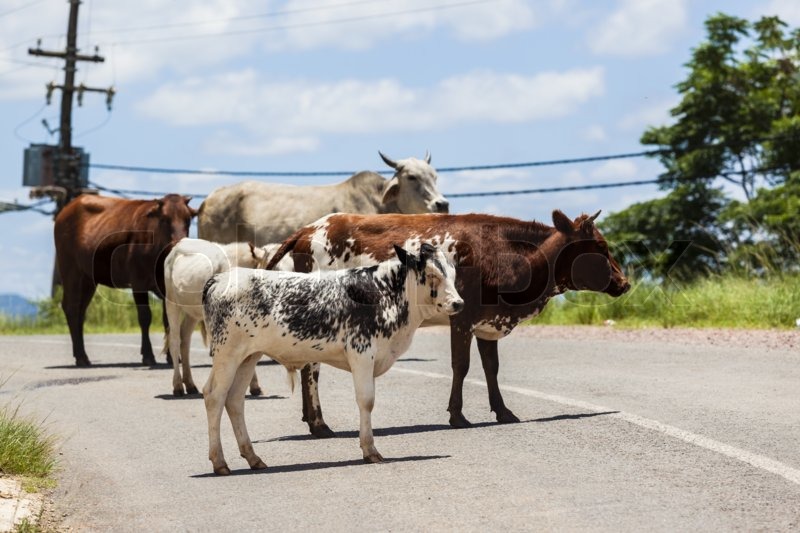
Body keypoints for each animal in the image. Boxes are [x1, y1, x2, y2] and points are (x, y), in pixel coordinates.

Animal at [53, 194, 197, 366]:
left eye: (188, 219)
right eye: (164, 219)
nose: (179, 244)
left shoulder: (165, 287)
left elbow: (168, 320)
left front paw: (172, 357)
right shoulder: (138, 282)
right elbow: (145, 317)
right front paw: (148, 356)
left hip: (88, 280)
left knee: (80, 312)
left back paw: (81, 356)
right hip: (71, 271)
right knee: (72, 308)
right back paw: (81, 357)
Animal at [163, 238, 272, 396]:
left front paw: (253, 385)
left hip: (192, 313)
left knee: (185, 340)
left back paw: (190, 384)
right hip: (171, 302)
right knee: (175, 341)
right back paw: (177, 385)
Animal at [201, 243, 464, 474]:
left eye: (452, 274)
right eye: (431, 274)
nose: (458, 303)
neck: (384, 293)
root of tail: (220, 279)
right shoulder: (361, 353)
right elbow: (367, 401)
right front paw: (370, 450)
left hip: (248, 357)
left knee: (235, 400)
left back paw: (253, 458)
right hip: (227, 354)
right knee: (215, 396)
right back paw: (219, 462)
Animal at [265, 210, 630, 436]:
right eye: (600, 246)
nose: (625, 283)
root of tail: (309, 228)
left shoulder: (488, 322)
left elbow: (491, 368)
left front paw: (503, 412)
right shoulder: (462, 317)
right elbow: (461, 366)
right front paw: (457, 415)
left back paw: (311, 420)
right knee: (311, 369)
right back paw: (319, 424)